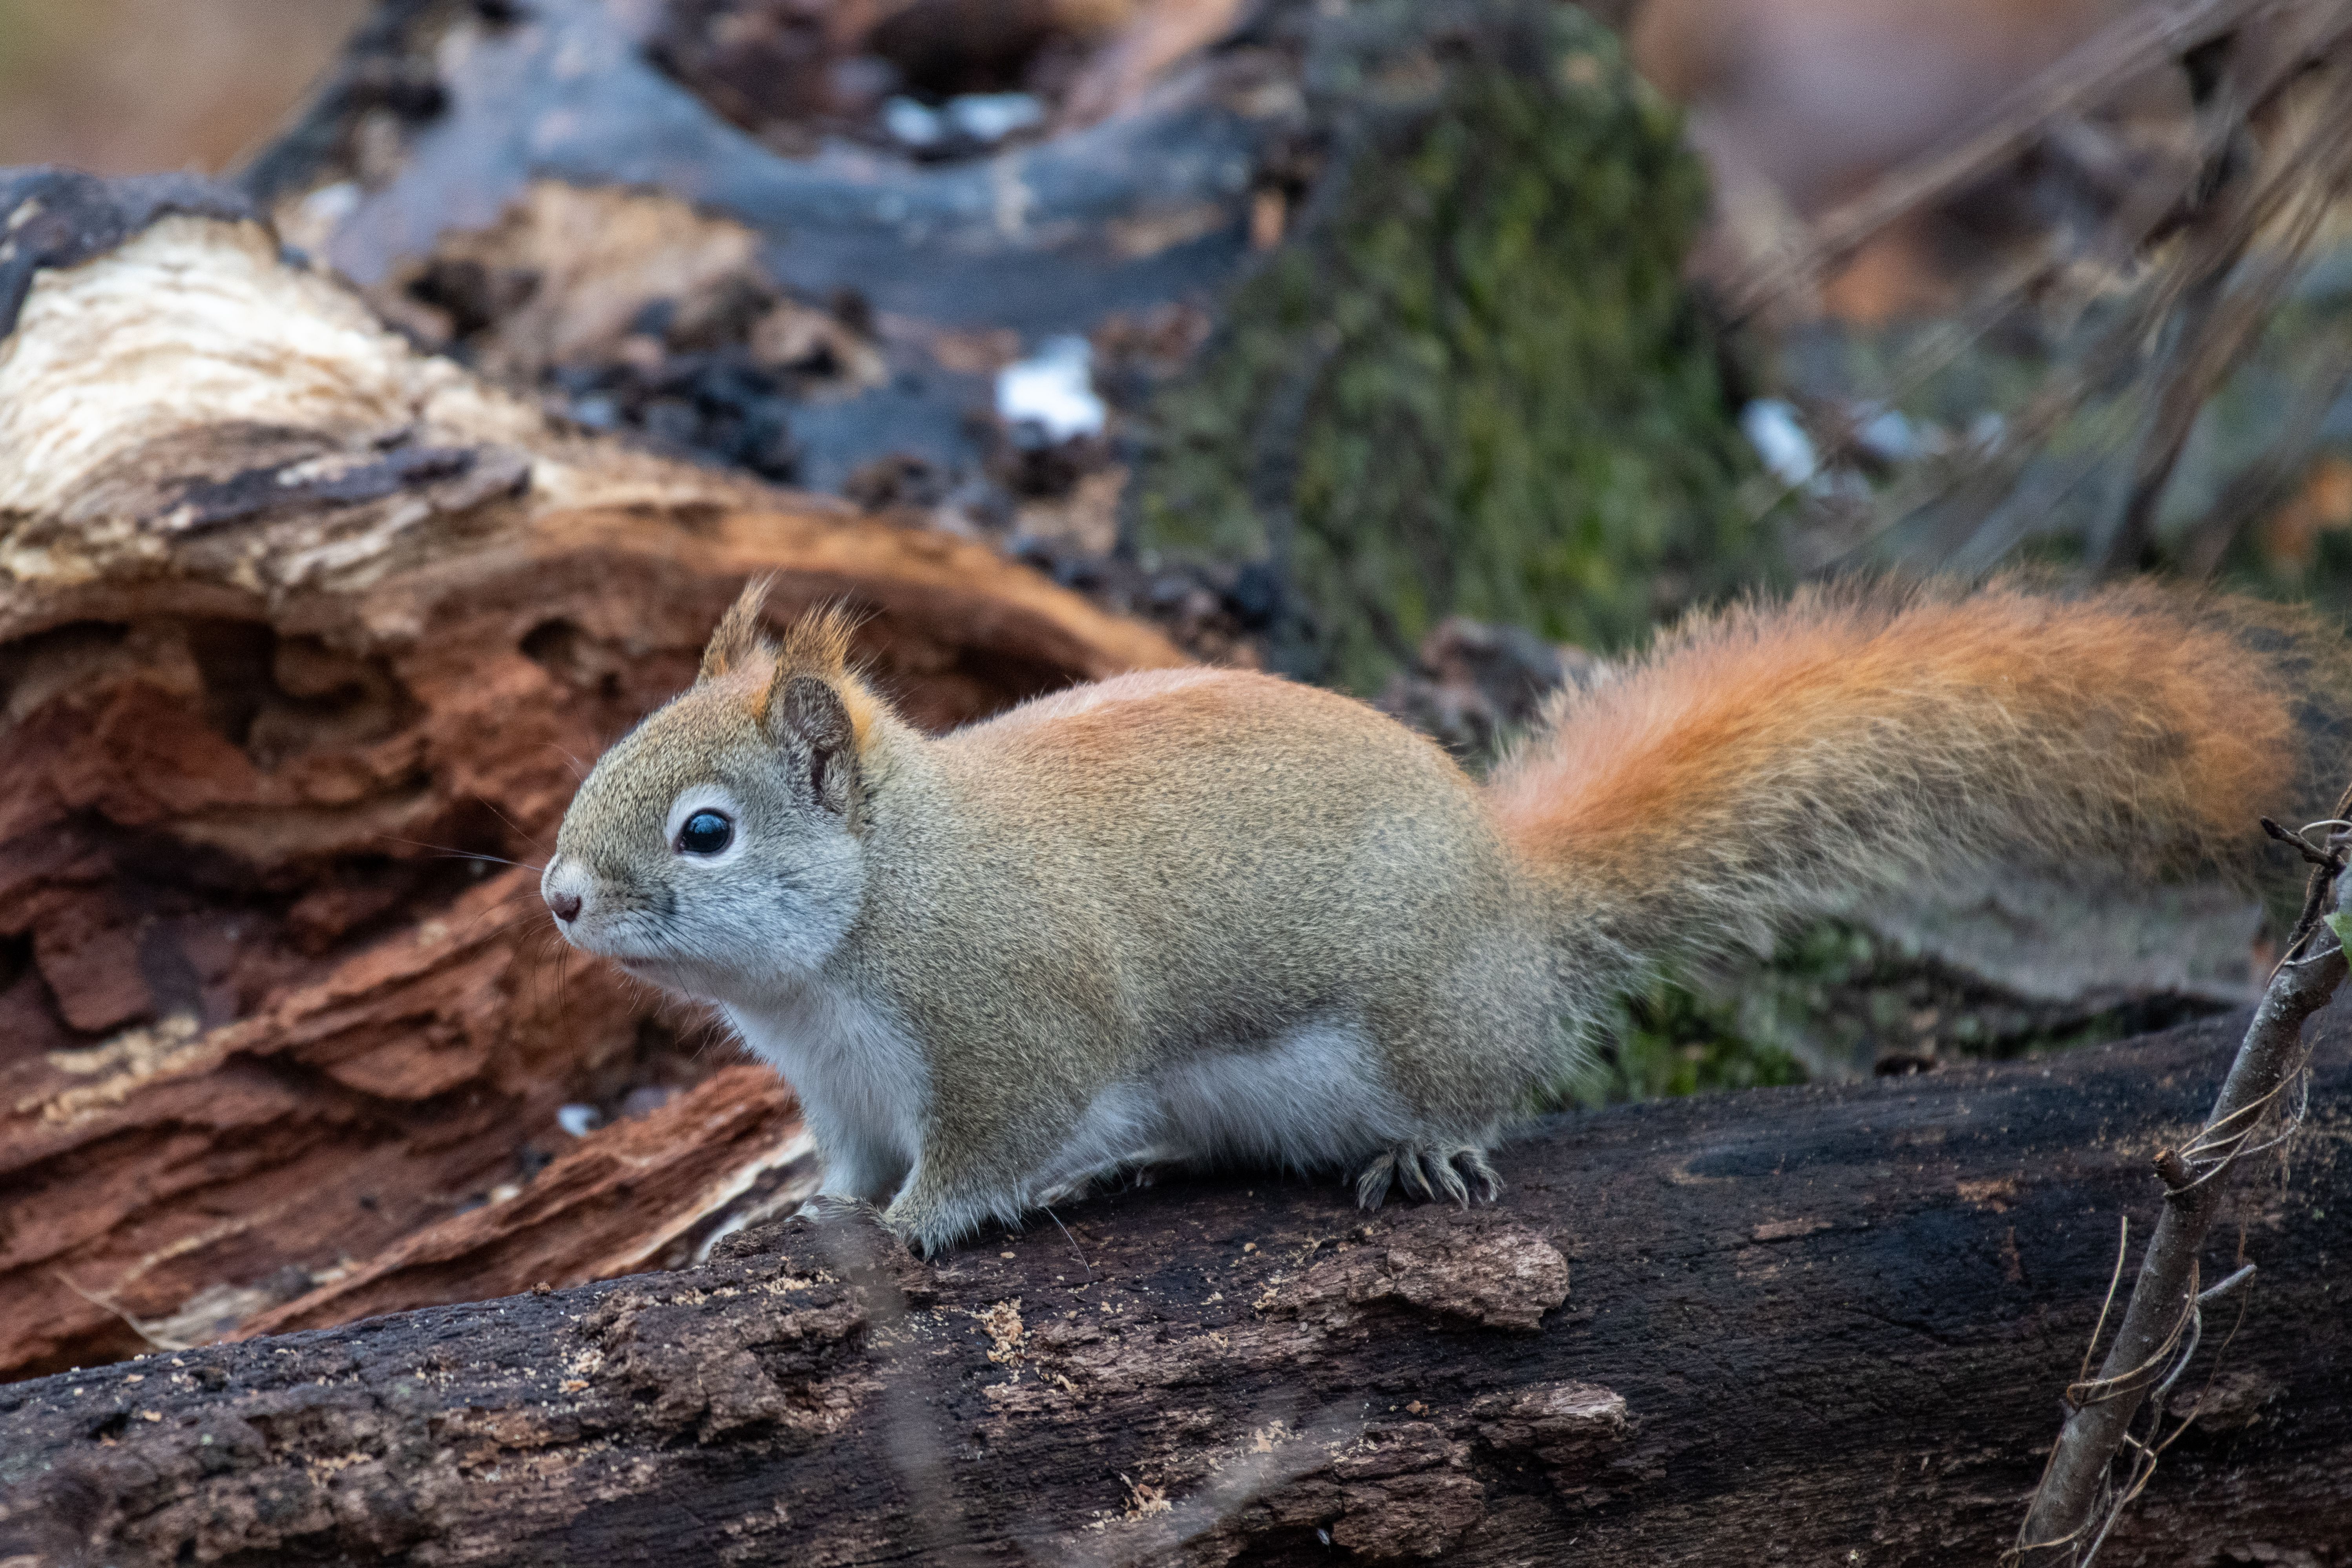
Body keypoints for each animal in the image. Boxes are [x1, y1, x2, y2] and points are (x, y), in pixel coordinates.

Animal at [543, 576, 2348, 1253]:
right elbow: (847, 1162)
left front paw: (907, 1227)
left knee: (1479, 1091)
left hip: (1421, 1028)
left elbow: (991, 1144)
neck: (866, 921)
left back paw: (1422, 1155)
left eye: (706, 831)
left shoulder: (1005, 1024)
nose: (558, 899)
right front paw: (792, 1218)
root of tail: (1514, 896)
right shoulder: (845, 1086)